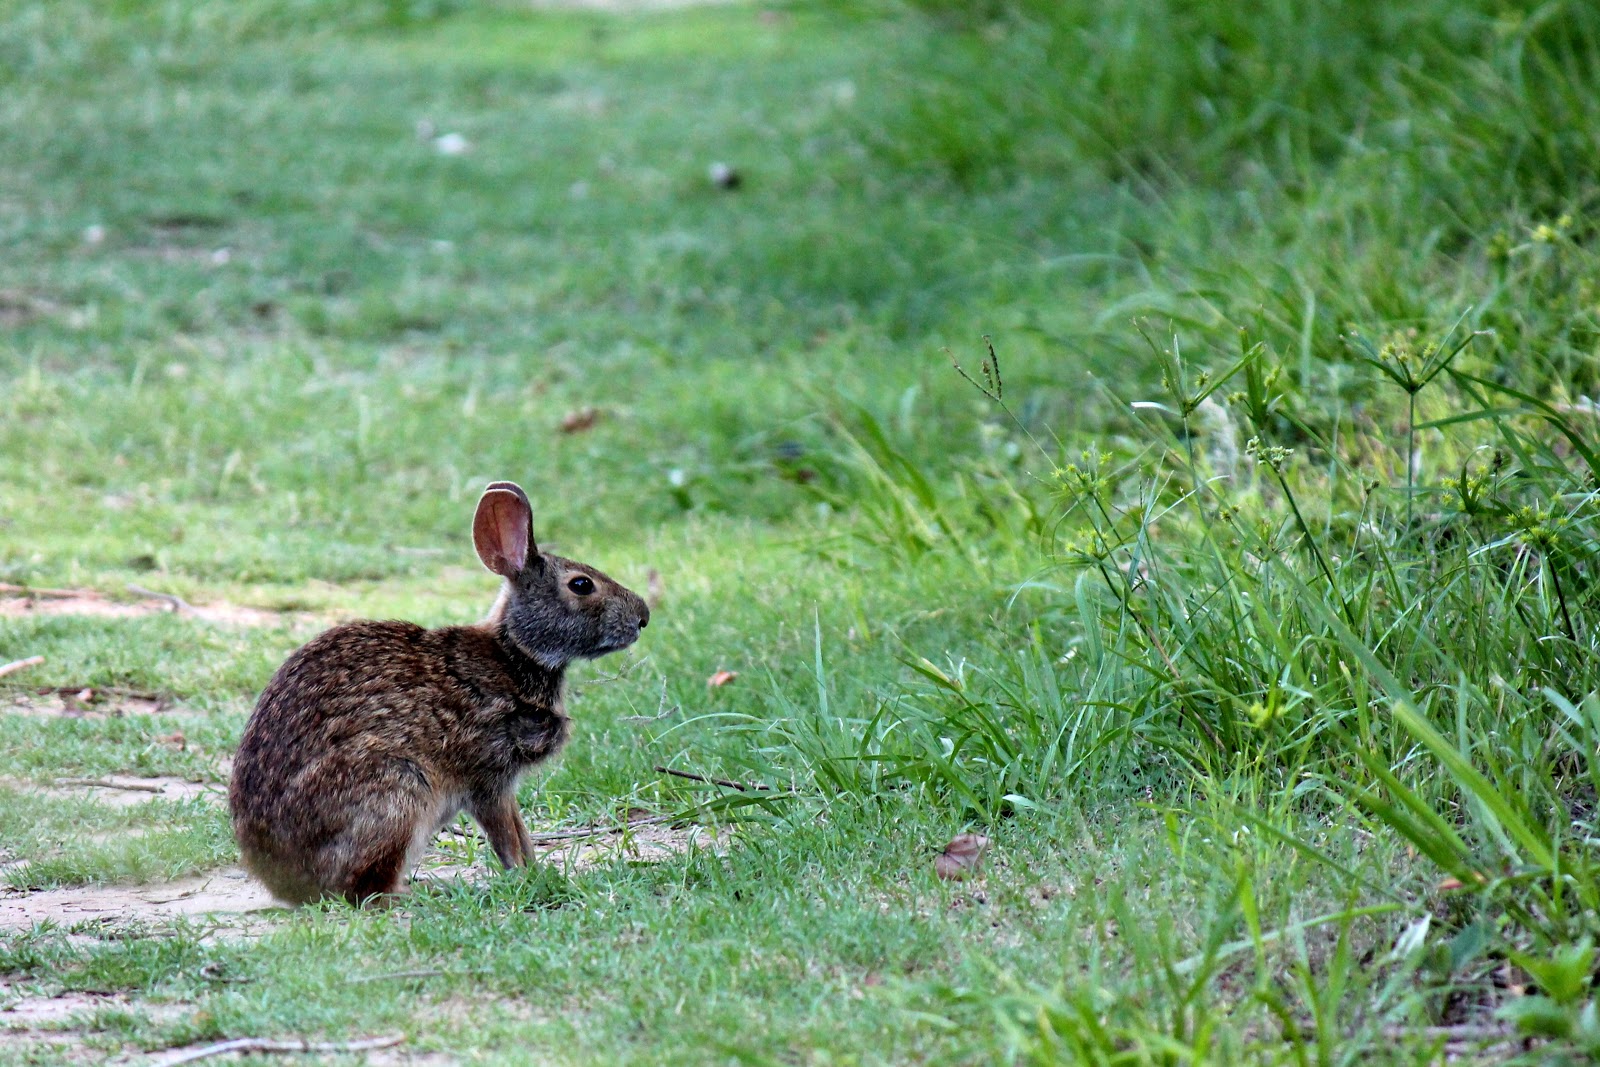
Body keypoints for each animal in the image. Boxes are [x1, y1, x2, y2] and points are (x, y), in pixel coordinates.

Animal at [228, 481, 649, 905]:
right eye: (581, 584)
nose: (643, 617)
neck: (514, 652)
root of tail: (280, 878)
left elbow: (519, 830)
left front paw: (539, 871)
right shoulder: (488, 777)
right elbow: (507, 835)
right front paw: (526, 875)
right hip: (398, 790)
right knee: (361, 888)